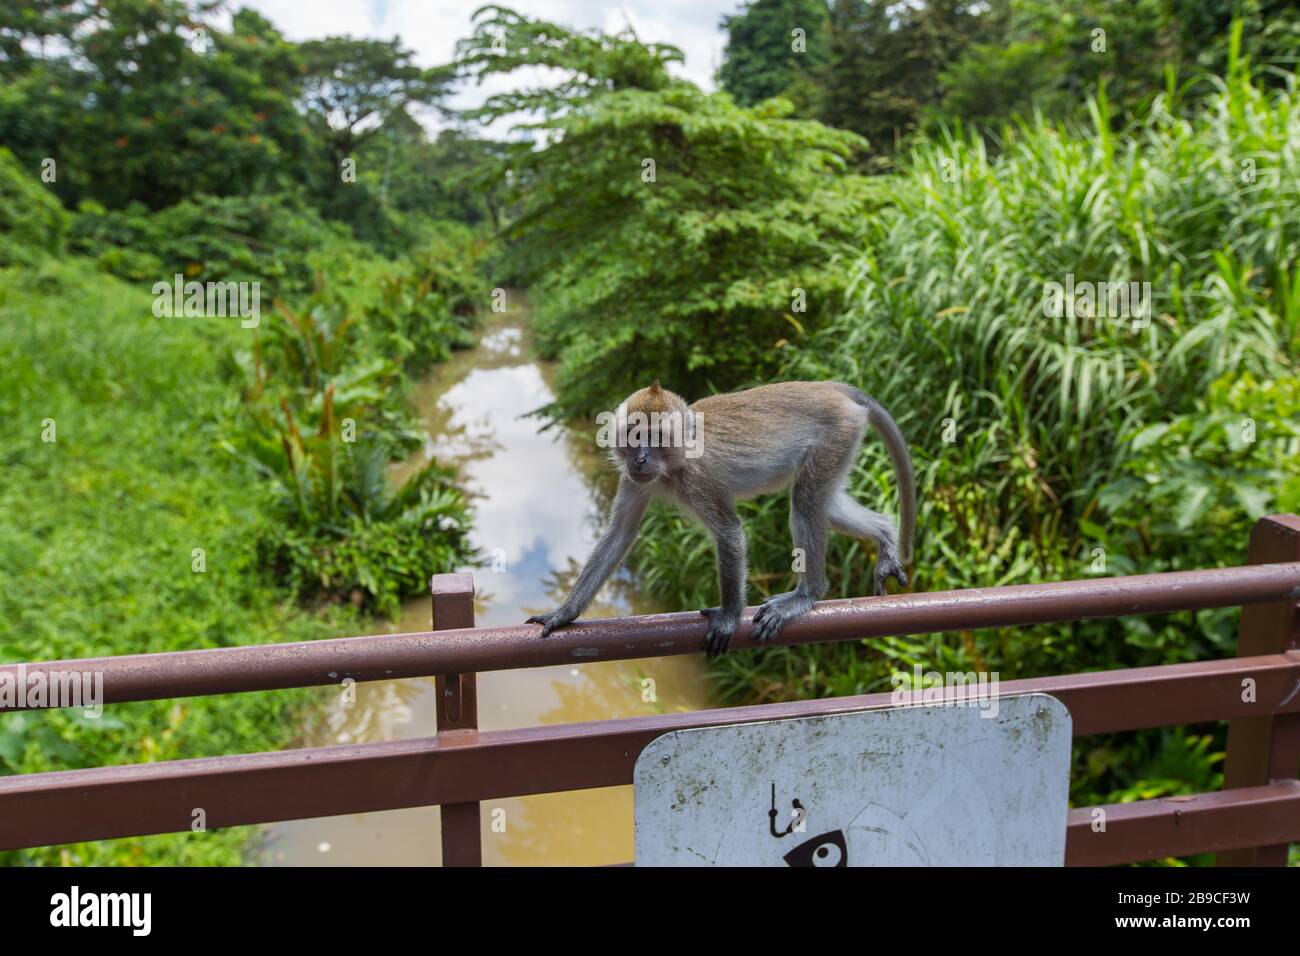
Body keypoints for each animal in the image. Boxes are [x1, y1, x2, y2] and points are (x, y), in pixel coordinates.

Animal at [526, 380, 916, 658]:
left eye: (655, 437)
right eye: (633, 437)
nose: (639, 459)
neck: (674, 464)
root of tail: (830, 387)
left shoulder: (700, 479)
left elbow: (729, 532)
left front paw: (729, 617)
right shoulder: (634, 479)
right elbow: (620, 533)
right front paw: (563, 614)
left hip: (837, 434)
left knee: (806, 502)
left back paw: (806, 595)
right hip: (843, 440)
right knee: (825, 504)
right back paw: (885, 535)